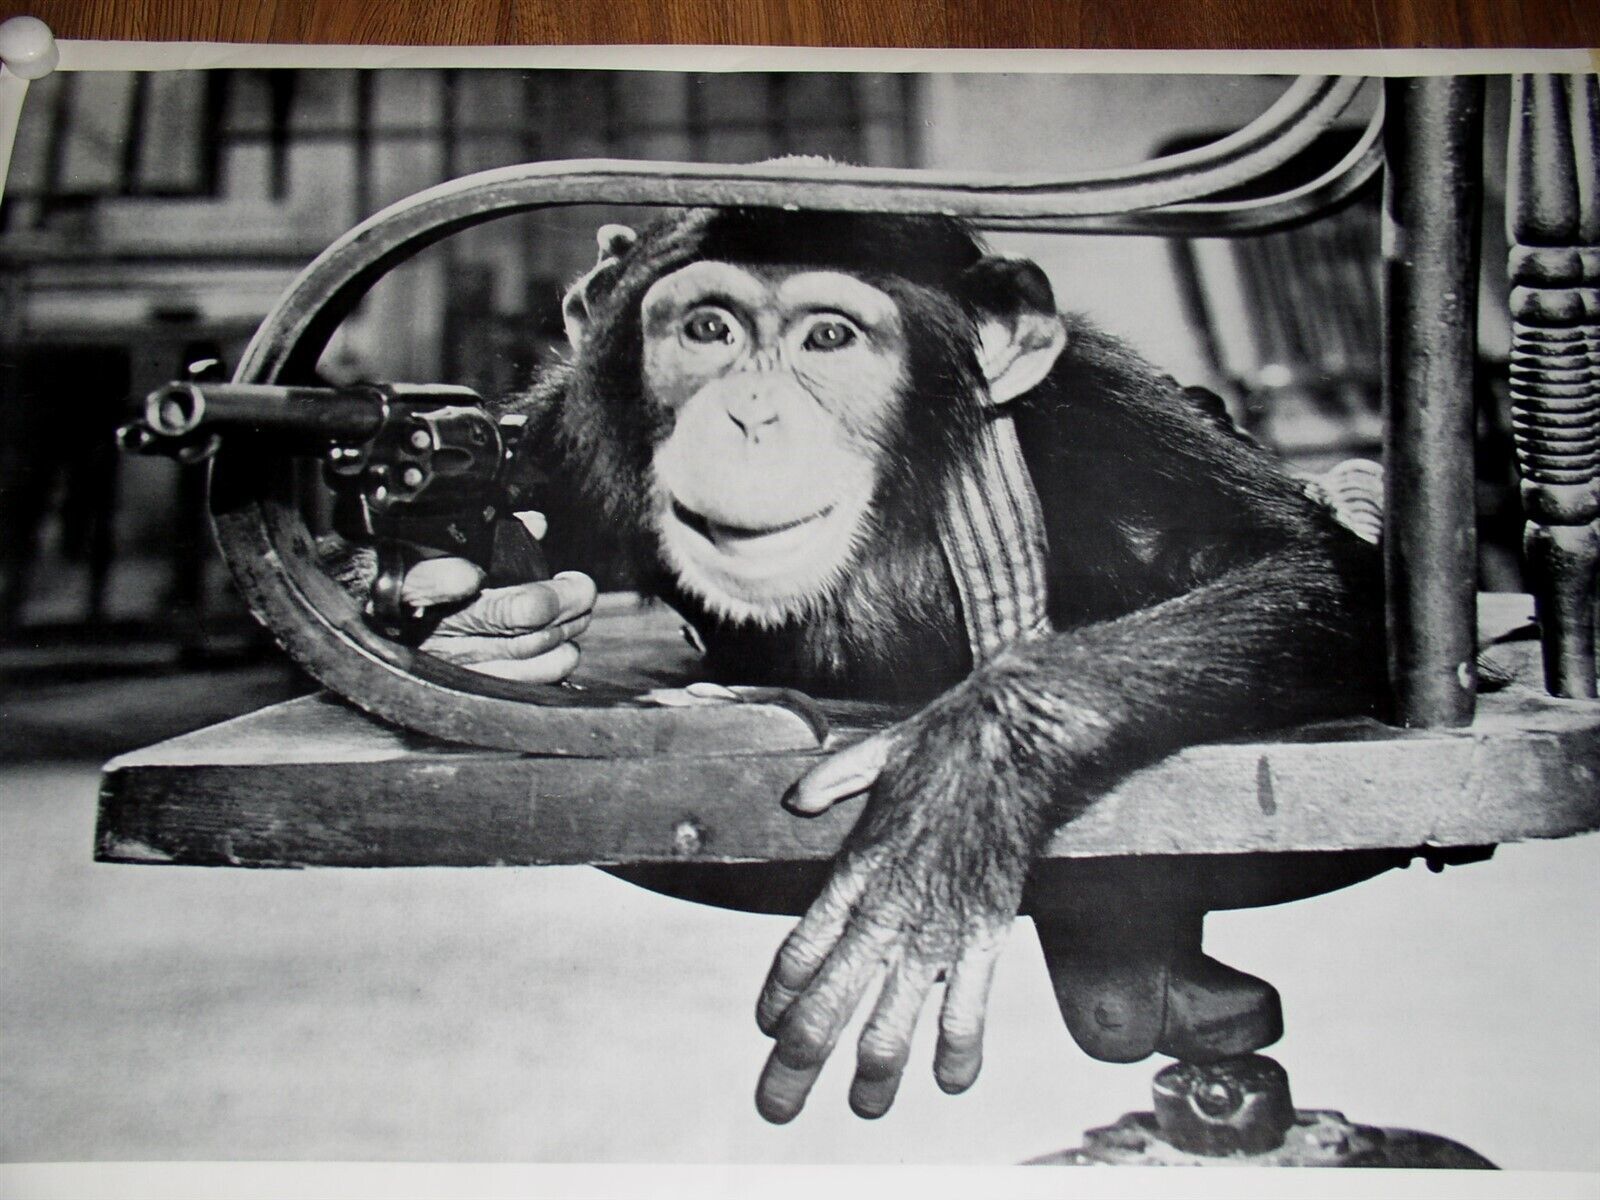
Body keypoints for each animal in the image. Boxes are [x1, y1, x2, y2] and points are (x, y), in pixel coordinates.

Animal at [359, 203, 1389, 1125]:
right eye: (708, 329)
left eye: (829, 339)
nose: (751, 415)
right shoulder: (566, 435)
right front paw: (477, 622)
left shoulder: (1101, 416)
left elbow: (1310, 568)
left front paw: (955, 798)